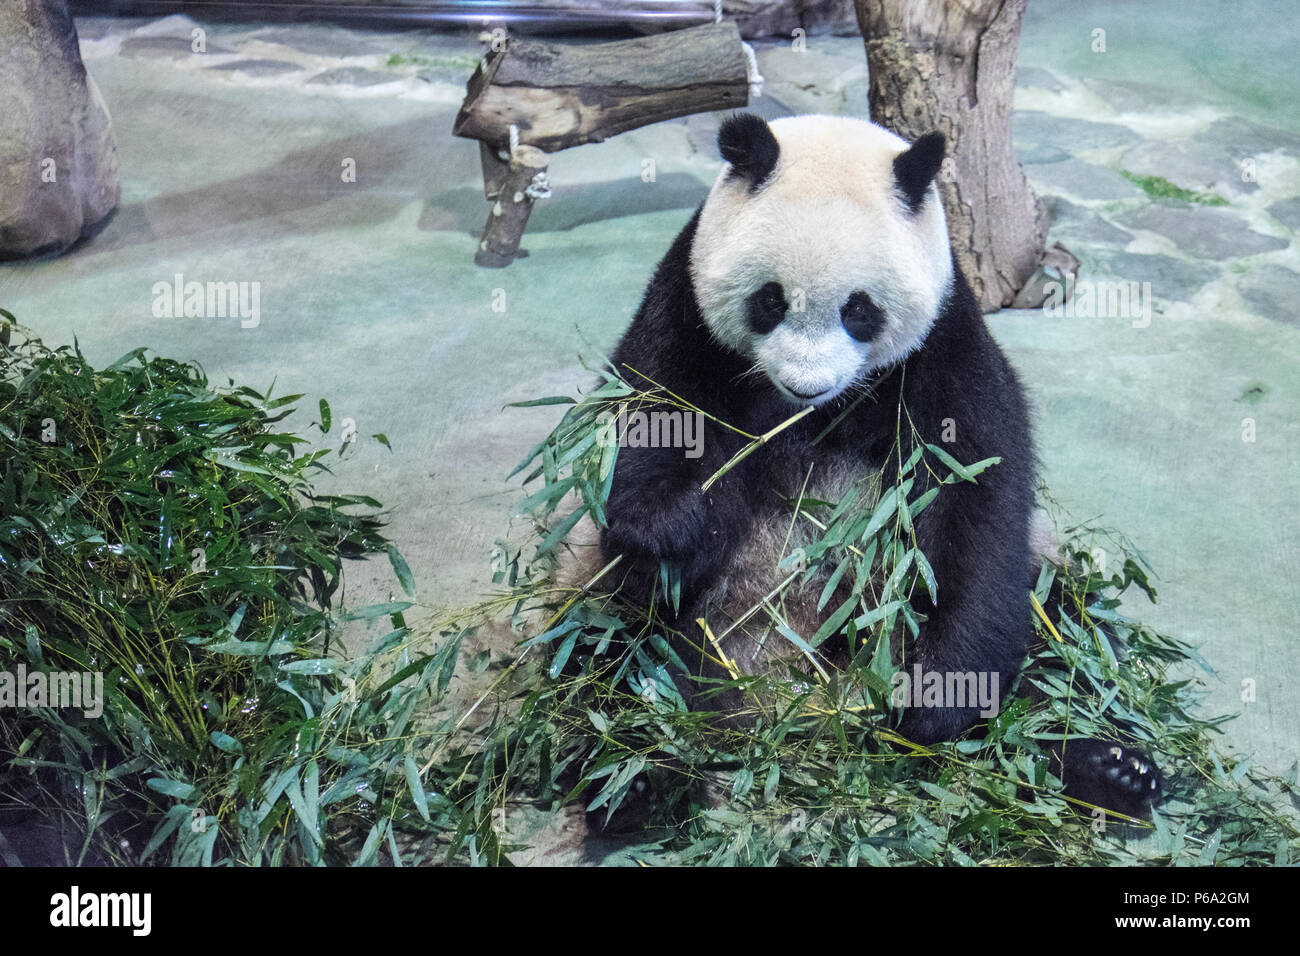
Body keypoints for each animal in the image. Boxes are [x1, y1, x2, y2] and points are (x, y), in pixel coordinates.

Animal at [567, 113, 1161, 817]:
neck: (817, 414)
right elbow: (647, 413)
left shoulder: (945, 347)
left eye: (859, 309)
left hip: (1033, 597)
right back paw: (633, 775)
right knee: (612, 652)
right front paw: (668, 528)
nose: (806, 384)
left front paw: (937, 701)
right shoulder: (685, 312)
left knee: (1063, 642)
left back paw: (1111, 767)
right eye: (770, 300)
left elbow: (976, 506)